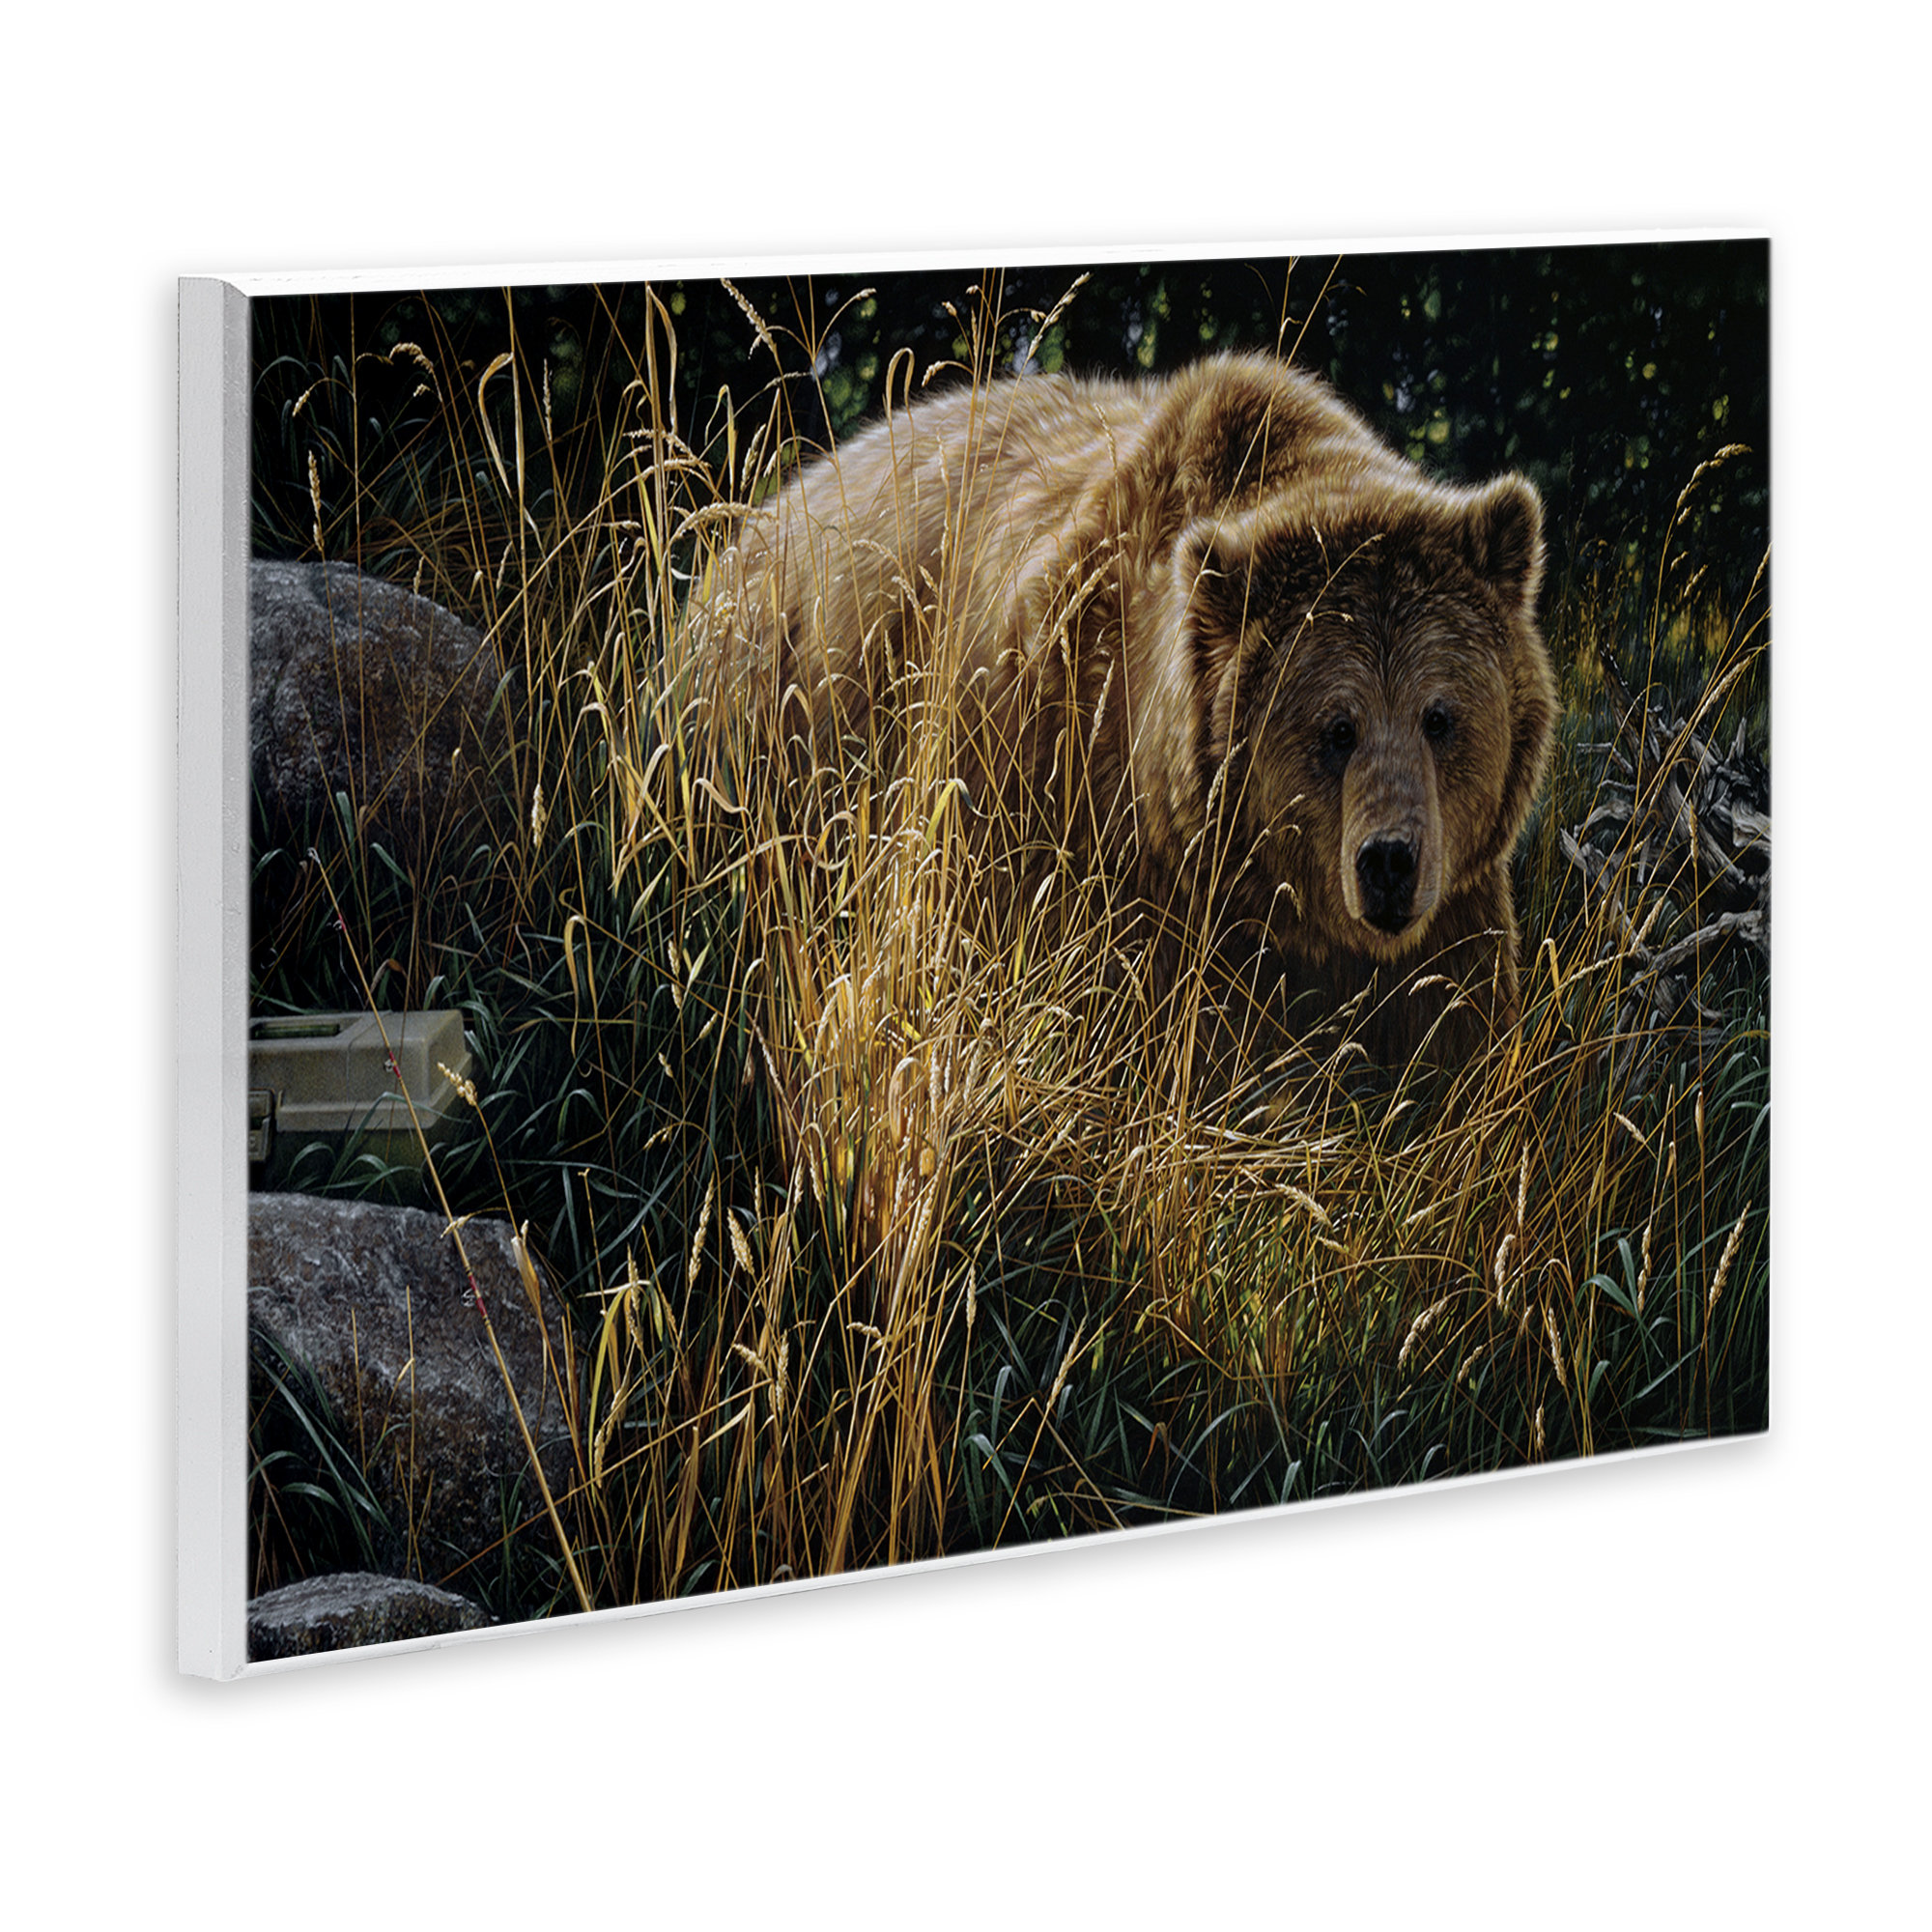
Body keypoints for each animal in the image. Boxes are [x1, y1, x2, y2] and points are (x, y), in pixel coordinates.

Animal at [689, 350, 1558, 1072]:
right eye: (1335, 729)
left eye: (1440, 716)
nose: (1388, 863)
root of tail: (745, 535)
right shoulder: (1070, 813)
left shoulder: (1452, 910)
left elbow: (1451, 1044)